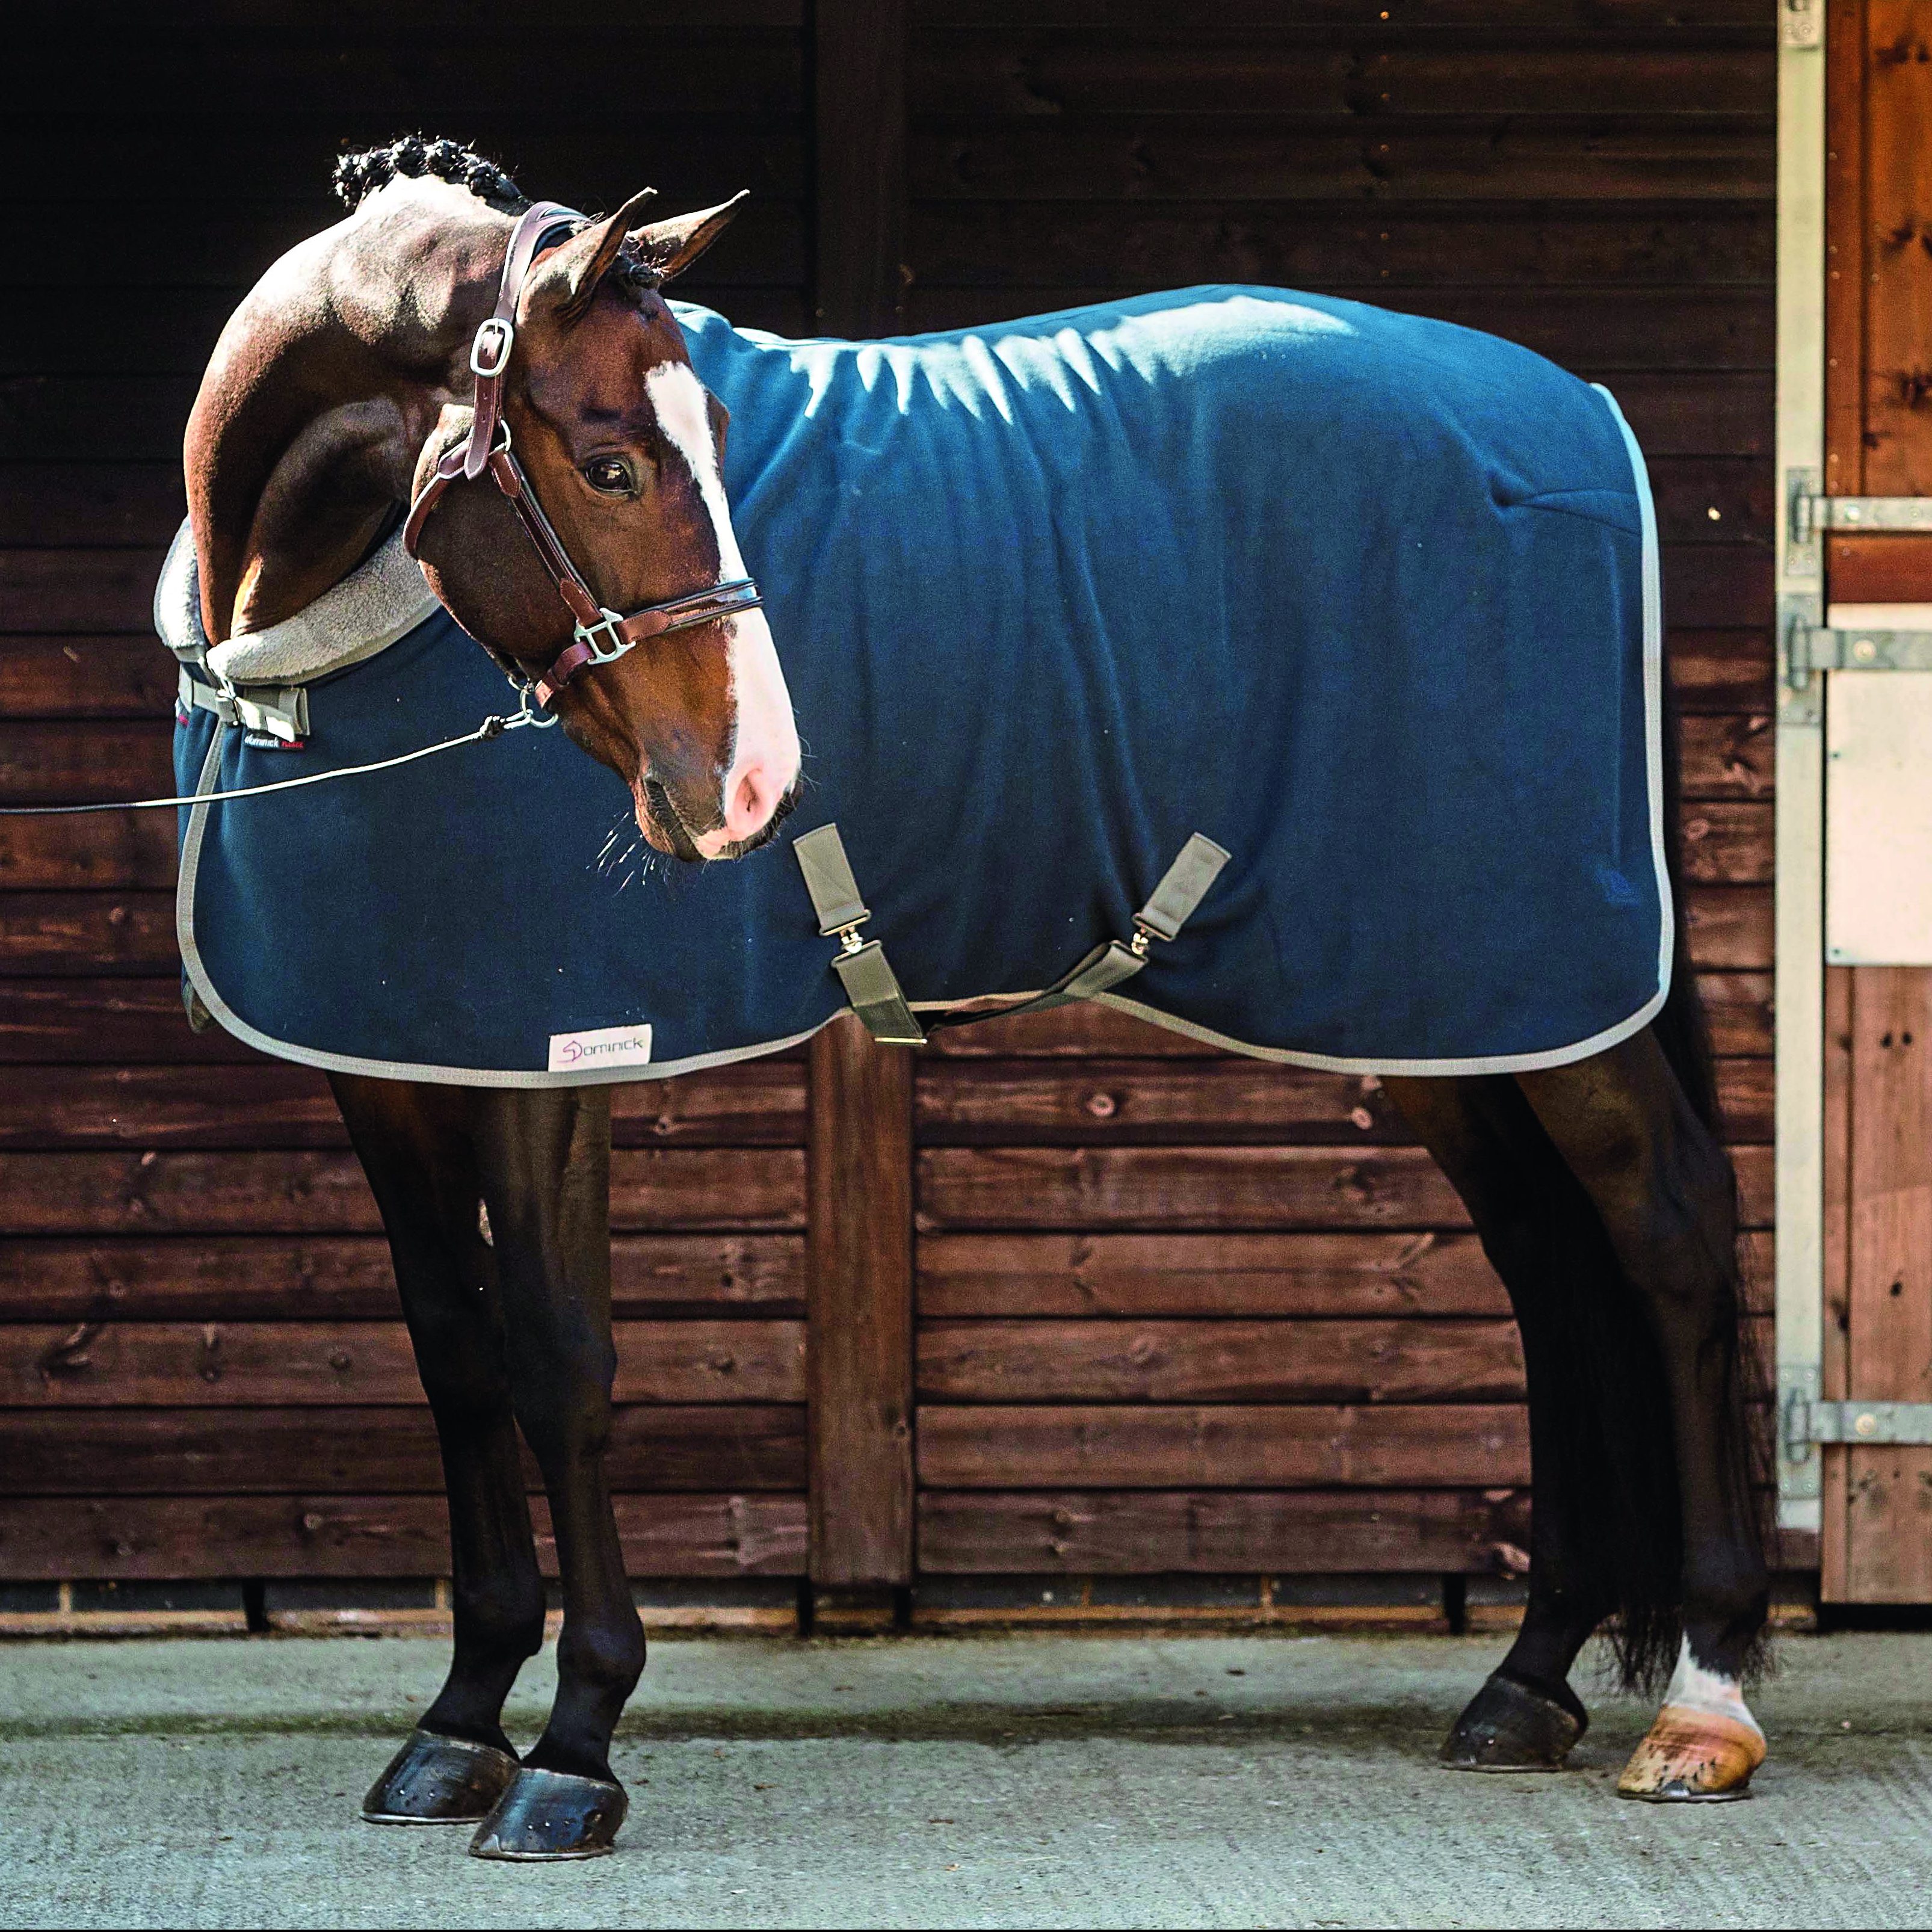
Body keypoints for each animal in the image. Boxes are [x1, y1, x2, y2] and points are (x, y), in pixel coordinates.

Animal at [167, 135, 1771, 1860]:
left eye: (707, 443)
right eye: (608, 465)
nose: (755, 782)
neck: (307, 643)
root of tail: (1574, 408)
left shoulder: (552, 1057)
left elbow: (558, 1358)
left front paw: (574, 1747)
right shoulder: (389, 1063)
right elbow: (458, 1357)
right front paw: (459, 1721)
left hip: (1537, 984)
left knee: (1668, 1235)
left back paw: (1707, 1700)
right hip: (1453, 1006)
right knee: (1551, 1269)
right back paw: (1526, 1681)